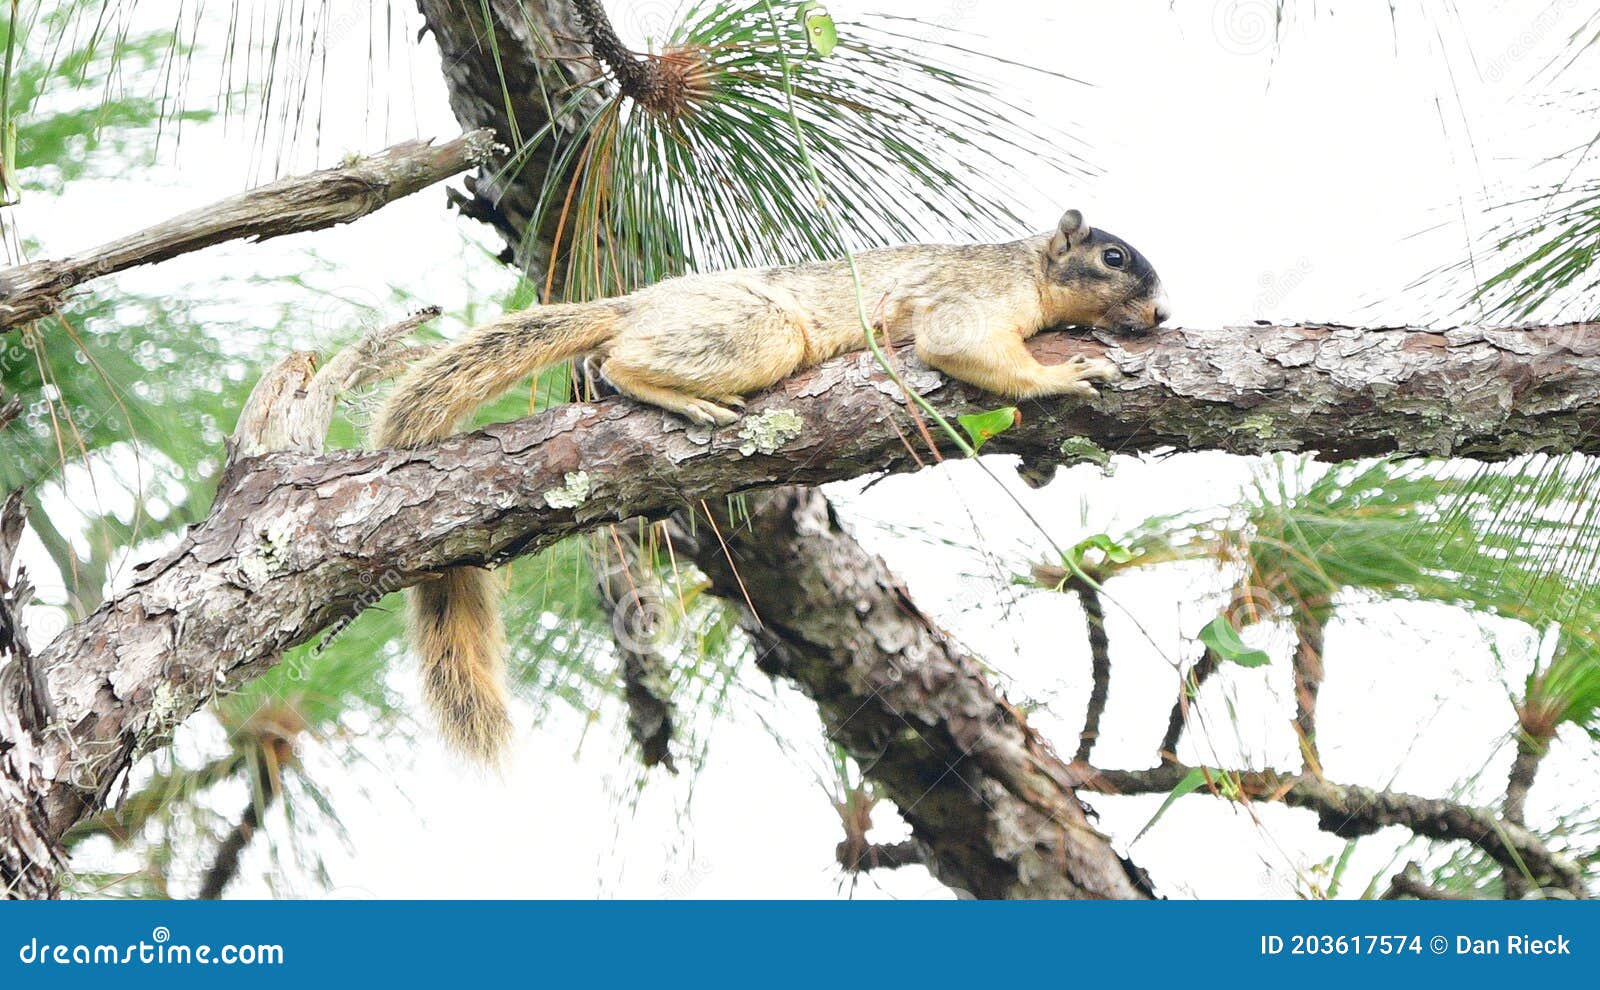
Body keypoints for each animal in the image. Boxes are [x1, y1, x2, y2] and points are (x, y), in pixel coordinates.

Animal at [372, 209, 1169, 763]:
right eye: (1113, 257)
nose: (1163, 314)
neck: (1026, 267)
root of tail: (636, 302)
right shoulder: (972, 300)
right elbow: (964, 346)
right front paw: (1067, 374)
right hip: (758, 332)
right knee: (622, 357)